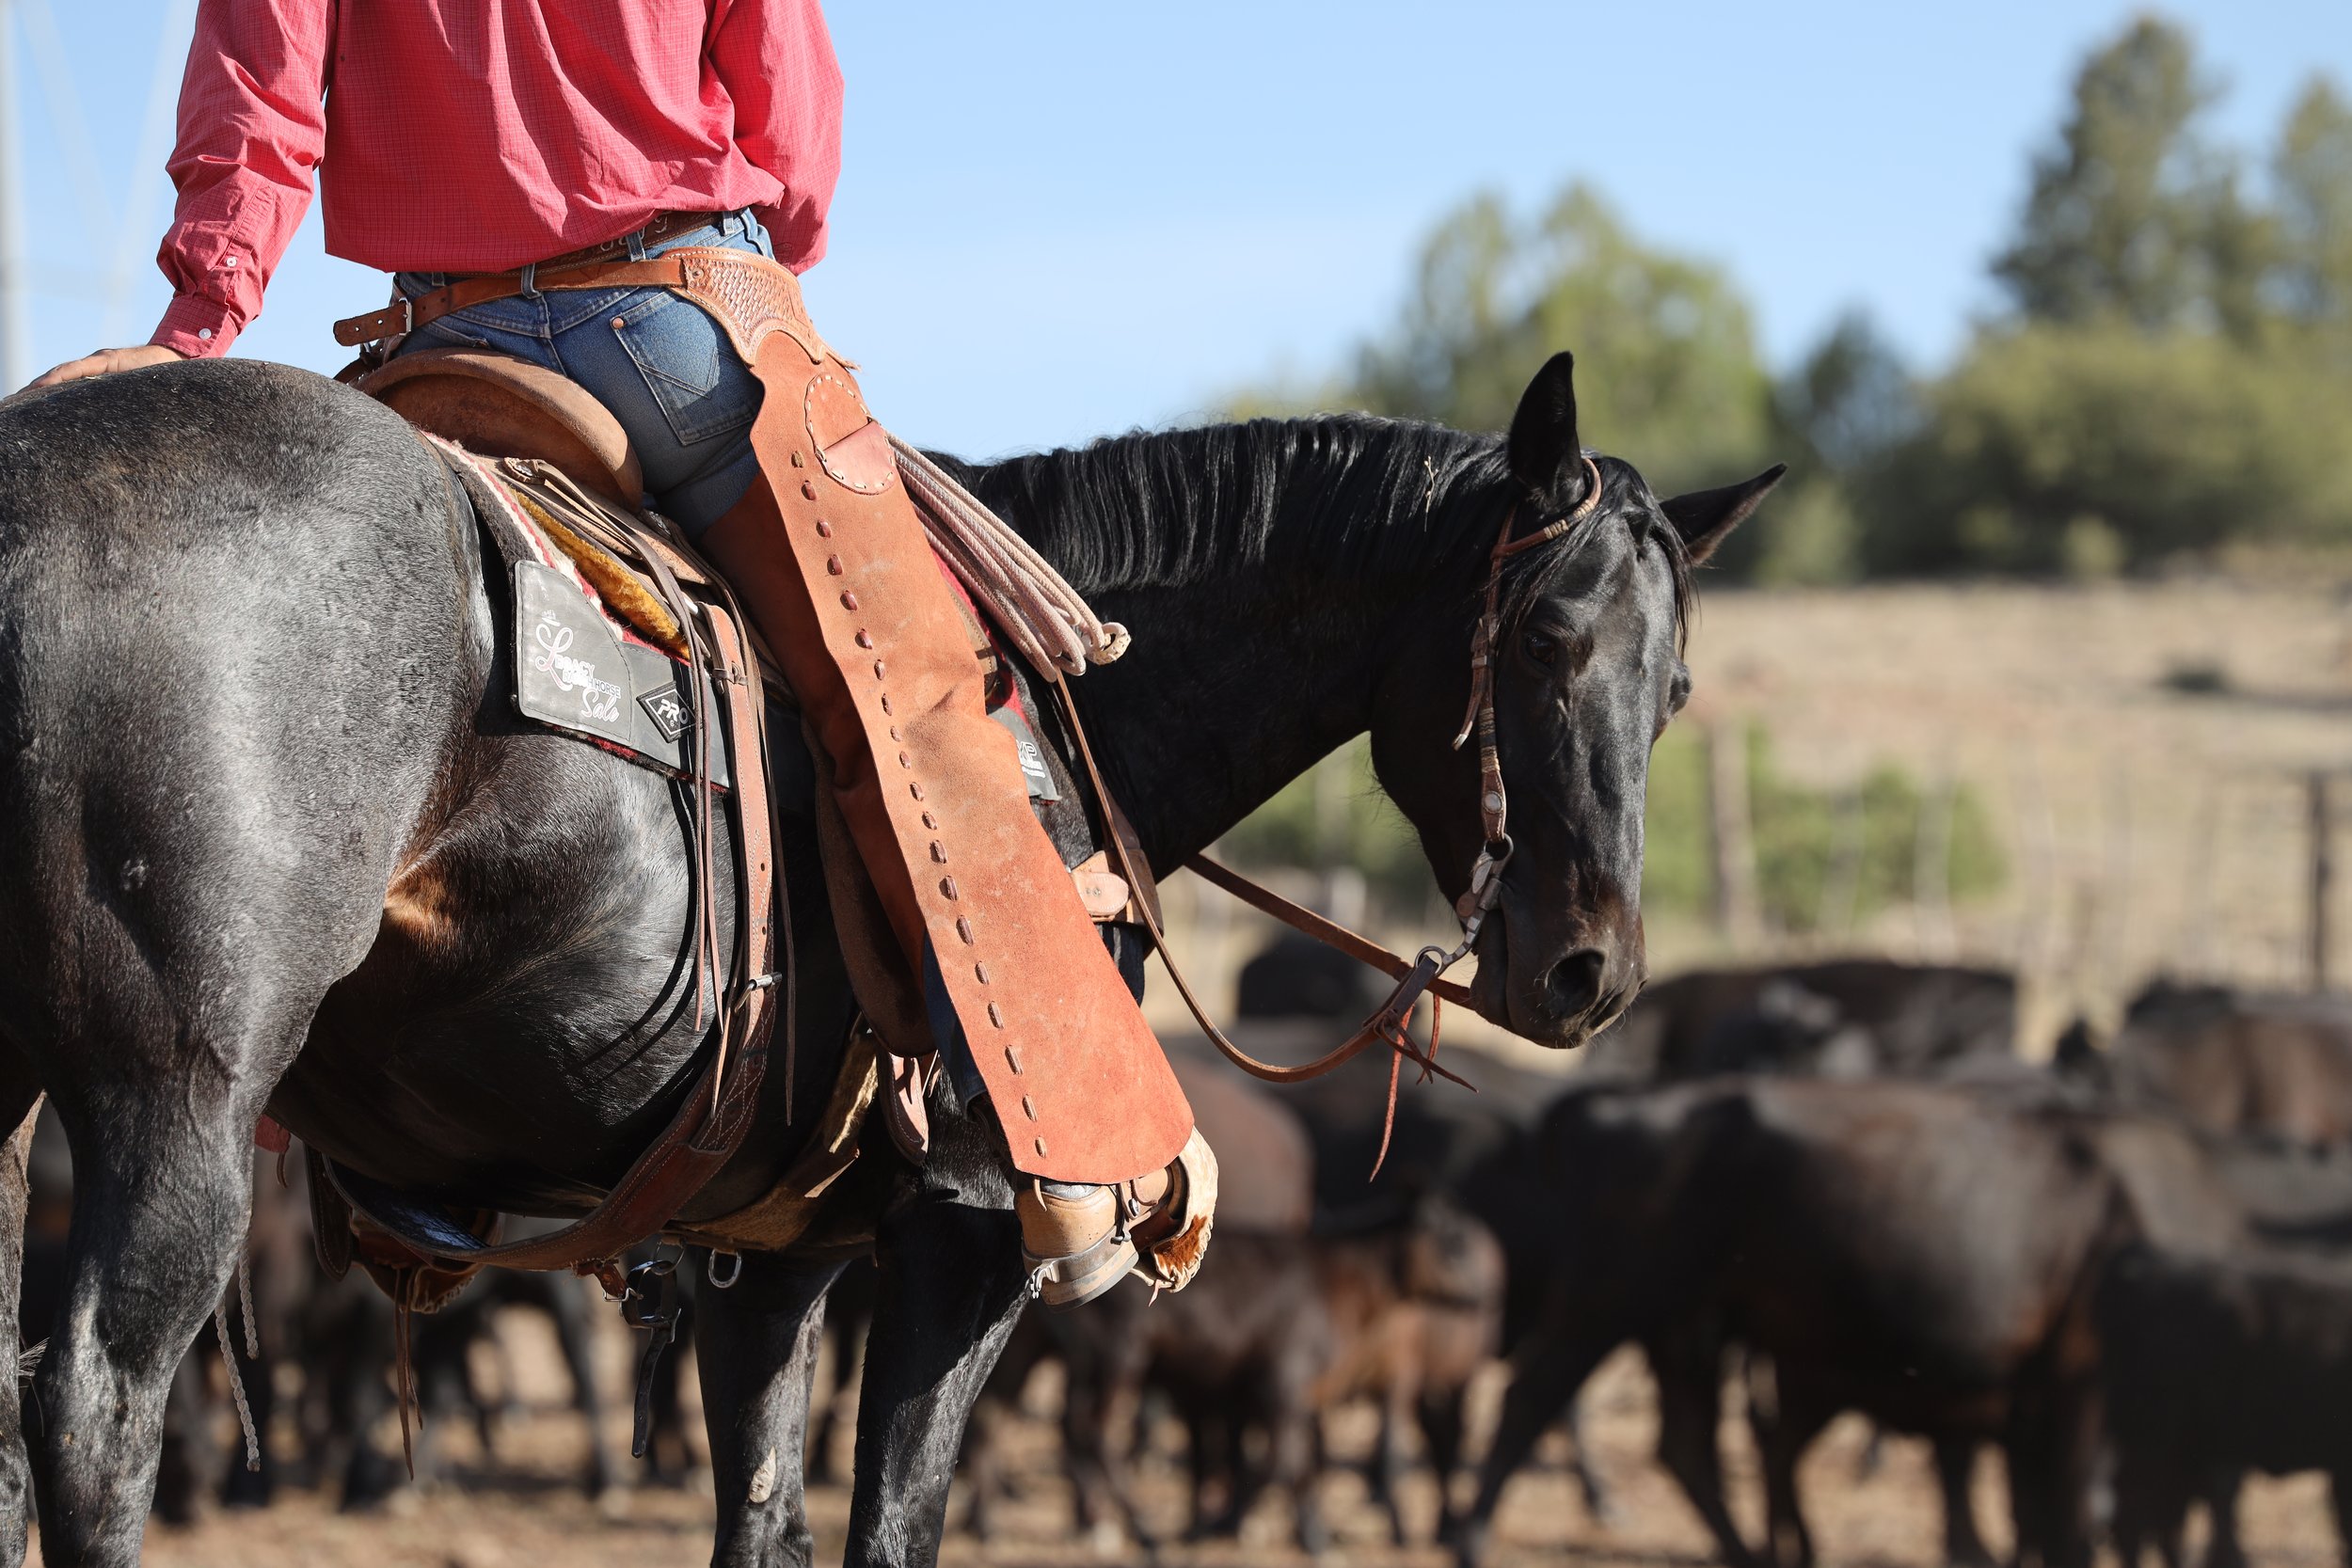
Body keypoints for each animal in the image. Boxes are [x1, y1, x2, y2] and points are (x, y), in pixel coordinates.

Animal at [0, 347, 1773, 1566]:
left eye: (1681, 683)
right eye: (1545, 636)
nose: (1589, 972)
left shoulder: (761, 1251)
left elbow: (766, 1519)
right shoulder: (966, 1236)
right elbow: (889, 1524)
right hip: (177, 1104)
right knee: (92, 1410)